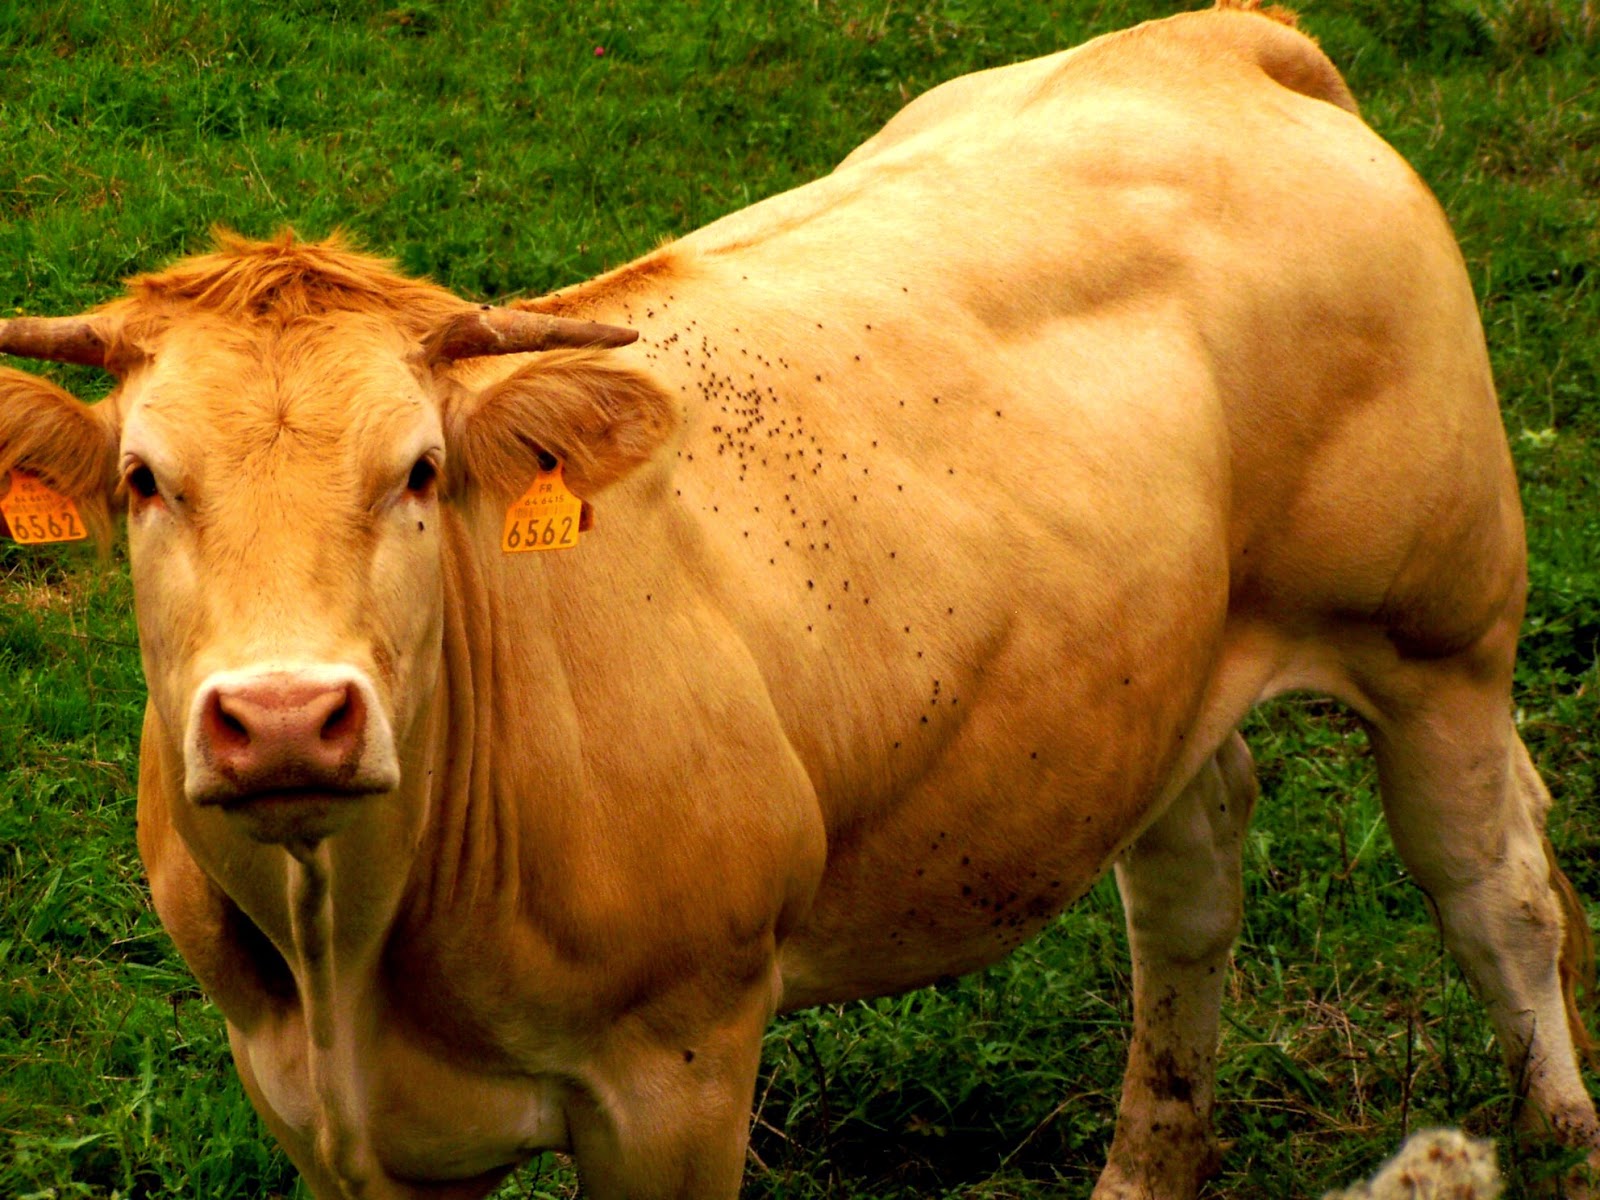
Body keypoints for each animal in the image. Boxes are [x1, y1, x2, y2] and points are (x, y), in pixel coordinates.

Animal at [0, 4, 1594, 1197]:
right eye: (143, 480)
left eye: (420, 471)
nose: (285, 720)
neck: (348, 953)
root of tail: (1212, 39)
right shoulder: (318, 1119)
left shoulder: (681, 1073)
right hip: (1164, 663)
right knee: (1190, 877)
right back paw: (1145, 1167)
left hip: (1442, 634)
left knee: (1499, 896)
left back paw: (1562, 1140)